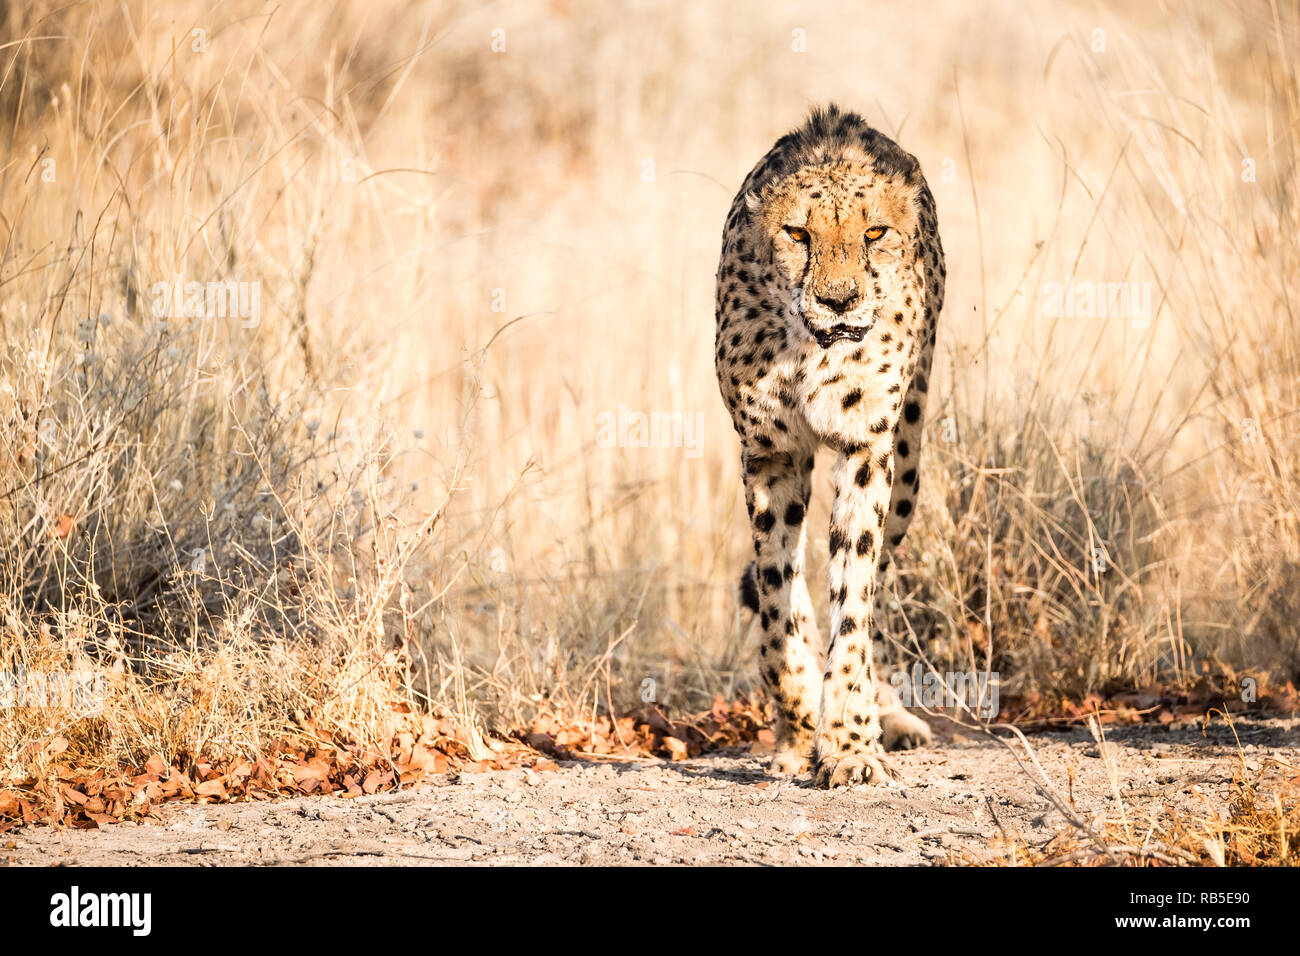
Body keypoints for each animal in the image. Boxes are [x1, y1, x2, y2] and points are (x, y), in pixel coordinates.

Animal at [714, 104, 945, 788]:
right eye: (797, 234)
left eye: (874, 233)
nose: (838, 300)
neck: (810, 345)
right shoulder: (770, 454)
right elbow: (776, 596)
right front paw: (797, 725)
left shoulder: (865, 447)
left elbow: (854, 598)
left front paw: (849, 740)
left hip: (908, 462)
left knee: (878, 577)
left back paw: (885, 713)